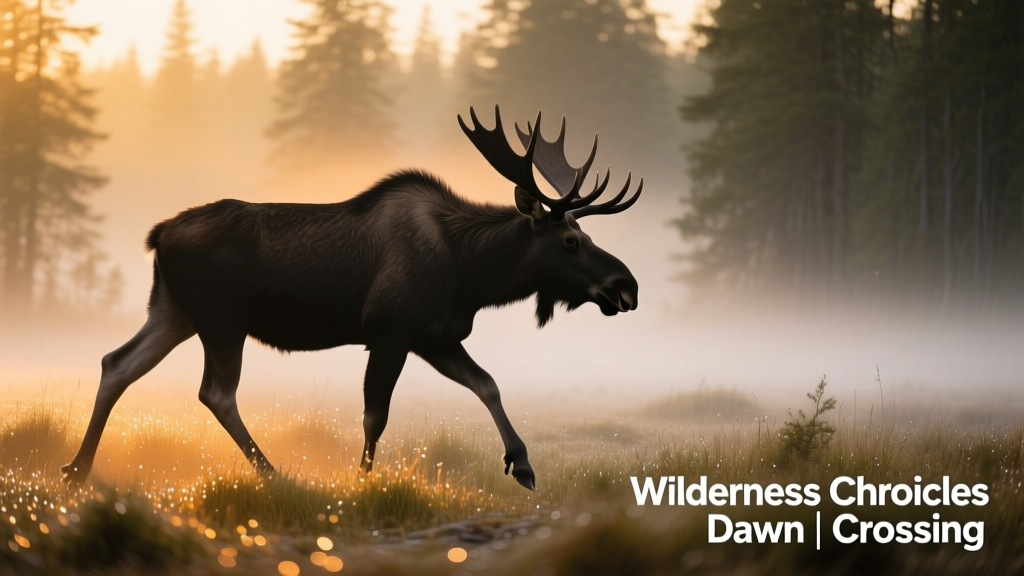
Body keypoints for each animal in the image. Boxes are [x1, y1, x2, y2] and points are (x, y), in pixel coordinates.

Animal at [62, 106, 641, 490]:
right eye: (570, 241)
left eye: (585, 235)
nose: (627, 286)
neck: (471, 273)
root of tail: (158, 234)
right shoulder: (390, 332)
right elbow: (374, 415)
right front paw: (362, 481)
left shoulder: (434, 336)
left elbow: (488, 384)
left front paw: (521, 463)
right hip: (221, 320)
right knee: (215, 392)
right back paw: (272, 471)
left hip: (172, 311)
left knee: (117, 363)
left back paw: (76, 468)